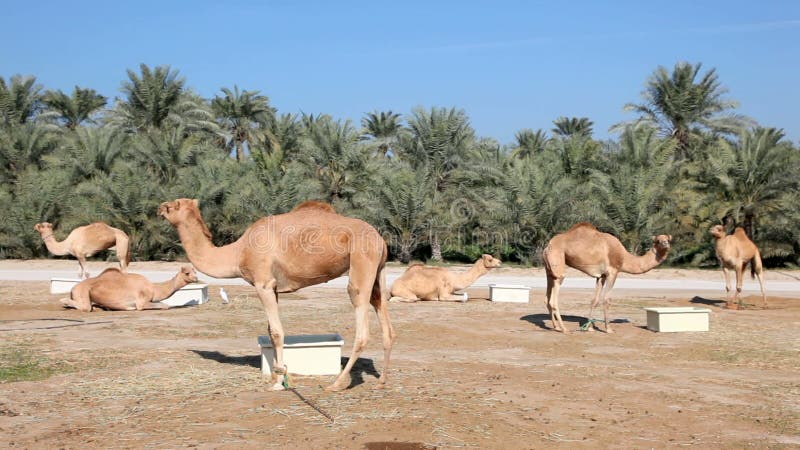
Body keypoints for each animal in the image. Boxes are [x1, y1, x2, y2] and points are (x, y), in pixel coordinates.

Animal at [60, 266, 197, 312]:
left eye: (194, 271)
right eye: (187, 273)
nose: (196, 278)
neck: (153, 288)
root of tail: (73, 288)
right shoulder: (141, 302)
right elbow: (165, 305)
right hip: (82, 292)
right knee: (85, 307)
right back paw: (64, 302)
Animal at [159, 198, 394, 392]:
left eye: (172, 205)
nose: (159, 208)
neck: (238, 252)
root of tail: (380, 239)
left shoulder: (263, 283)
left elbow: (278, 332)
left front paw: (279, 382)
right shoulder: (273, 288)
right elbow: (270, 332)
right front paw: (276, 374)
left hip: (361, 264)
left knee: (361, 327)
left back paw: (336, 383)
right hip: (379, 272)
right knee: (385, 319)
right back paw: (382, 380)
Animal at [542, 223, 672, 333]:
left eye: (668, 239)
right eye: (657, 241)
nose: (665, 244)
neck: (624, 258)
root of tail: (548, 246)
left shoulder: (601, 276)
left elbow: (594, 300)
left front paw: (589, 328)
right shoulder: (612, 272)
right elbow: (606, 300)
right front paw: (608, 328)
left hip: (549, 269)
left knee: (547, 296)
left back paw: (556, 327)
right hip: (558, 261)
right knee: (554, 297)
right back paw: (564, 329)